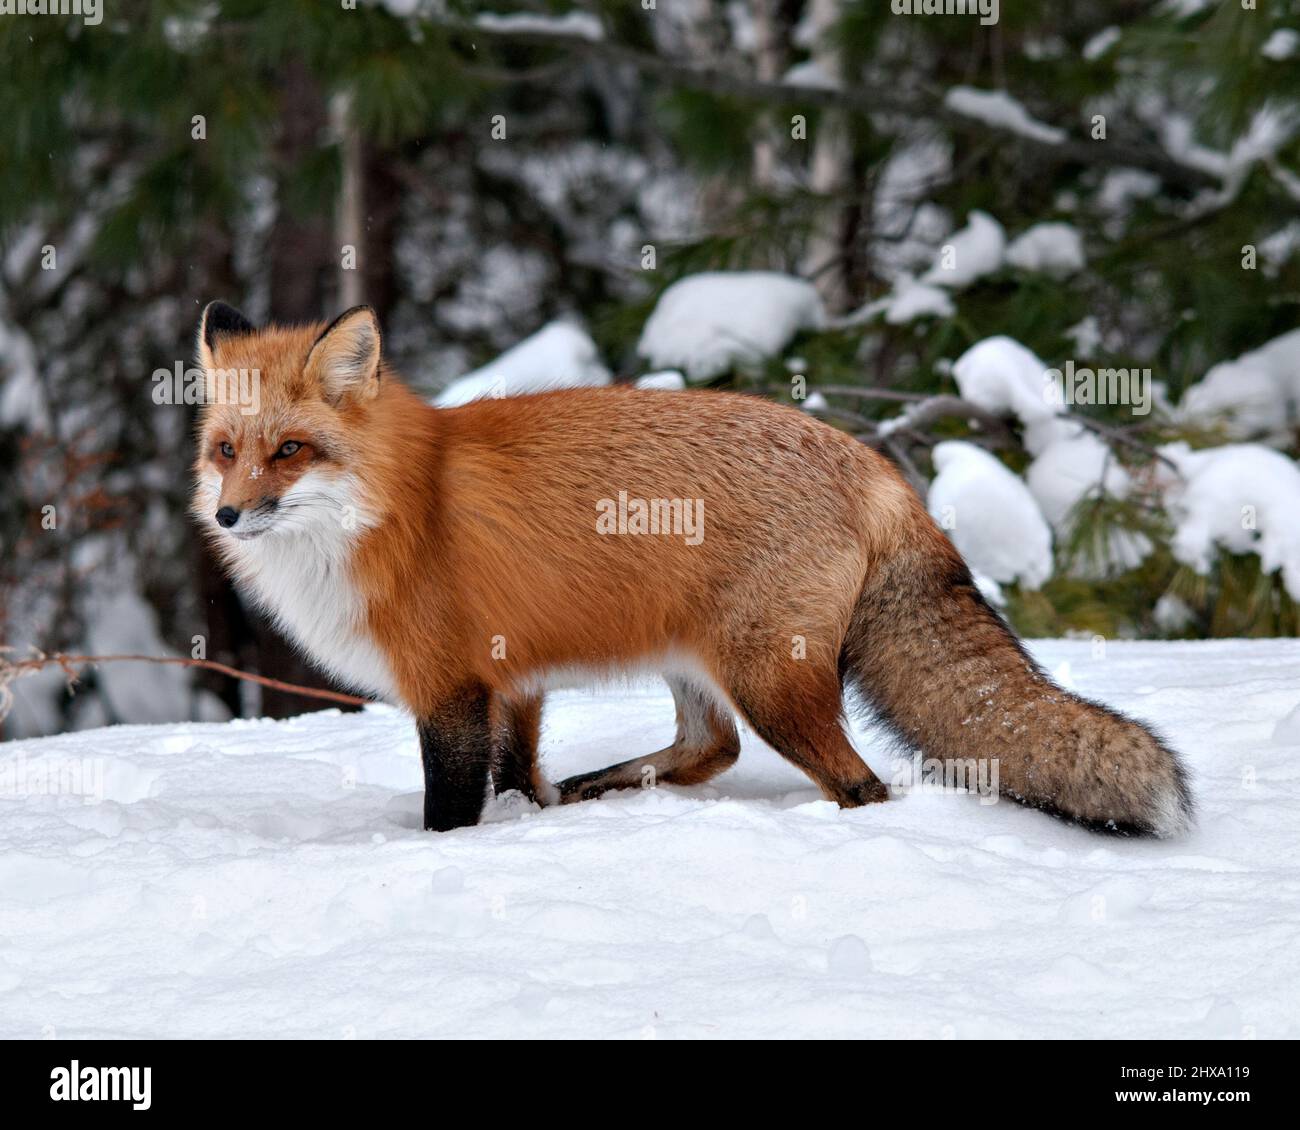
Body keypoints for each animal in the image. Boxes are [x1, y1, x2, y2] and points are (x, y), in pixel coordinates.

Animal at [191, 300, 1193, 836]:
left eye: (289, 450)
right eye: (226, 451)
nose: (229, 515)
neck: (397, 507)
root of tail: (873, 464)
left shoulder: (450, 689)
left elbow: (453, 806)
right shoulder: (513, 682)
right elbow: (514, 778)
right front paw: (529, 819)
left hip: (768, 678)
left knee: (858, 784)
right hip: (694, 660)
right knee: (712, 748)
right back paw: (595, 791)